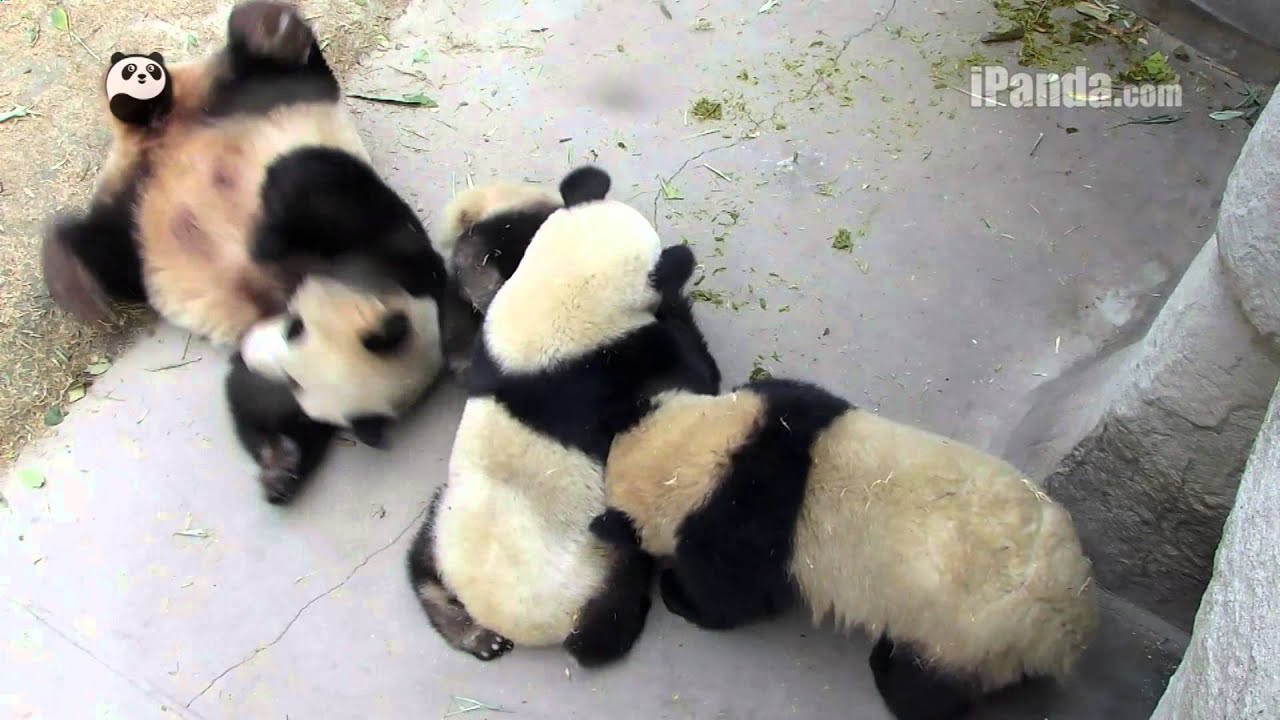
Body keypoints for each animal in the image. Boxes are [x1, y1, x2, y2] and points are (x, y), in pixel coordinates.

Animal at [42, 0, 449, 348]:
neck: (171, 125)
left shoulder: (272, 95)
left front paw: (270, 27)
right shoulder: (134, 199)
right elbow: (107, 253)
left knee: (320, 186)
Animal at [405, 164, 721, 667]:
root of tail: (503, 618)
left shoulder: (493, 347)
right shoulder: (614, 368)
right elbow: (696, 377)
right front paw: (676, 293)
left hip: (448, 519)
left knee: (421, 561)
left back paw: (466, 630)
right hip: (598, 567)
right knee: (602, 631)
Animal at [595, 378, 1100, 720]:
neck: (706, 457)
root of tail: (1069, 624)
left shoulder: (739, 531)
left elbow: (732, 595)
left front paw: (677, 593)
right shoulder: (786, 408)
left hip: (966, 633)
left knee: (928, 688)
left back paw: (887, 670)